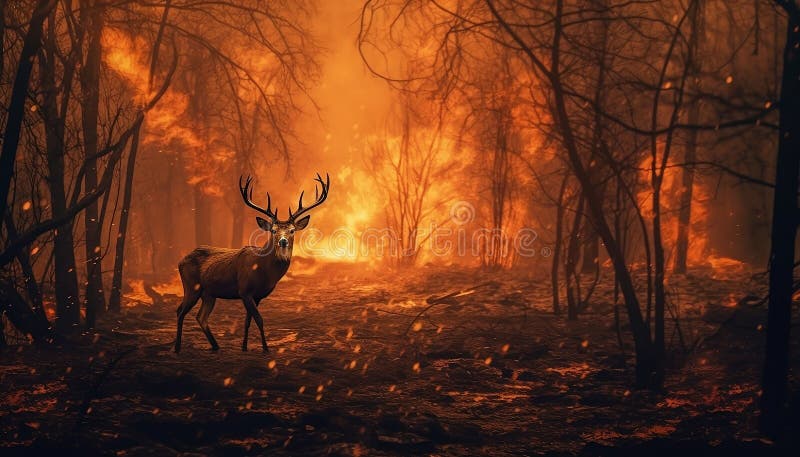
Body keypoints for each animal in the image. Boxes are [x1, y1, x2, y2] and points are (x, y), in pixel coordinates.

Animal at [174, 173, 330, 353]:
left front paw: (244, 347)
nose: (283, 241)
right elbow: (259, 319)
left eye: (292, 230)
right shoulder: (244, 290)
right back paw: (177, 347)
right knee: (180, 311)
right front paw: (265, 348)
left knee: (201, 316)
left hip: (209, 293)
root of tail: (180, 261)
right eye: (273, 230)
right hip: (191, 286)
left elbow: (248, 321)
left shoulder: (258, 296)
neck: (264, 271)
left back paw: (215, 346)